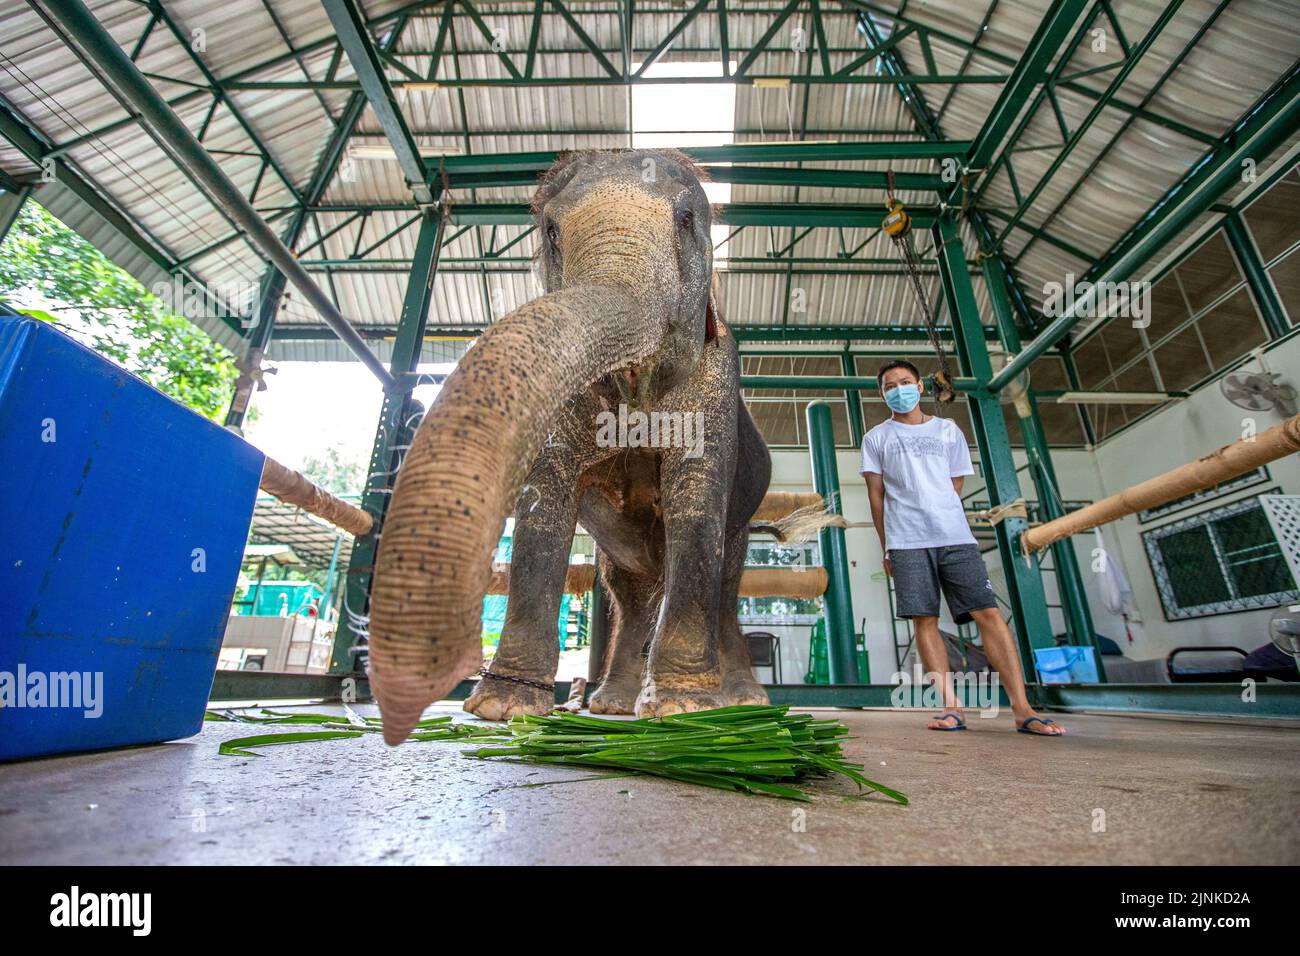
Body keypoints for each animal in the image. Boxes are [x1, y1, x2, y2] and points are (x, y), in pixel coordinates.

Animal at [366, 148, 773, 744]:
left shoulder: (720, 376)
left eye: (685, 221)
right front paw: (502, 707)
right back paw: (613, 705)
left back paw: (741, 701)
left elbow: (696, 503)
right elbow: (546, 496)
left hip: (745, 519)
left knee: (724, 581)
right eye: (551, 231)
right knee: (628, 593)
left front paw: (683, 711)